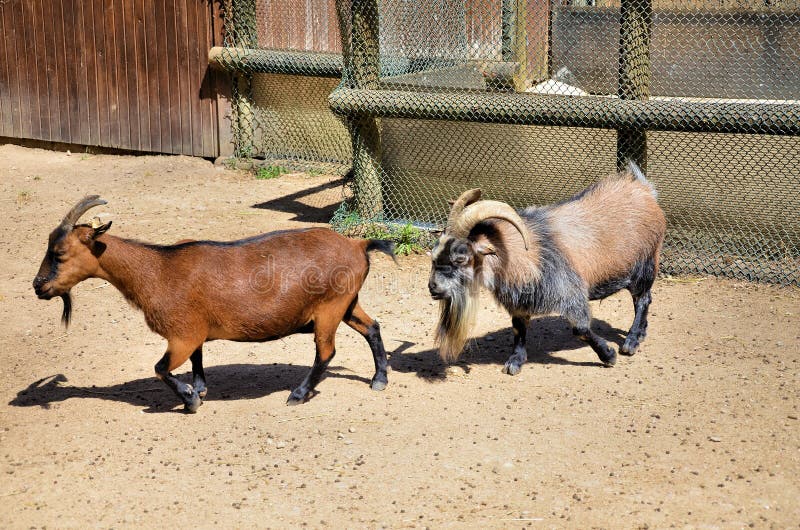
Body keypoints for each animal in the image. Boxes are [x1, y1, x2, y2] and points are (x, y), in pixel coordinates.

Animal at [33, 196, 396, 412]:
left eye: (60, 253)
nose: (38, 286)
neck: (157, 269)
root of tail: (357, 244)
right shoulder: (195, 332)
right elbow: (197, 358)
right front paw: (200, 389)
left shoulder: (182, 334)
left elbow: (160, 368)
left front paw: (190, 399)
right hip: (346, 303)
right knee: (372, 328)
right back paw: (379, 379)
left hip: (329, 308)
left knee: (326, 352)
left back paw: (297, 394)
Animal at [428, 161, 666, 372]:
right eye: (435, 252)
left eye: (460, 258)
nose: (433, 287)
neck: (521, 253)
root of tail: (644, 189)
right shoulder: (520, 301)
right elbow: (518, 328)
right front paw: (515, 361)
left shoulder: (570, 292)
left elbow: (580, 328)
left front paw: (609, 355)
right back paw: (641, 333)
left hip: (644, 264)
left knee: (642, 299)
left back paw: (631, 341)